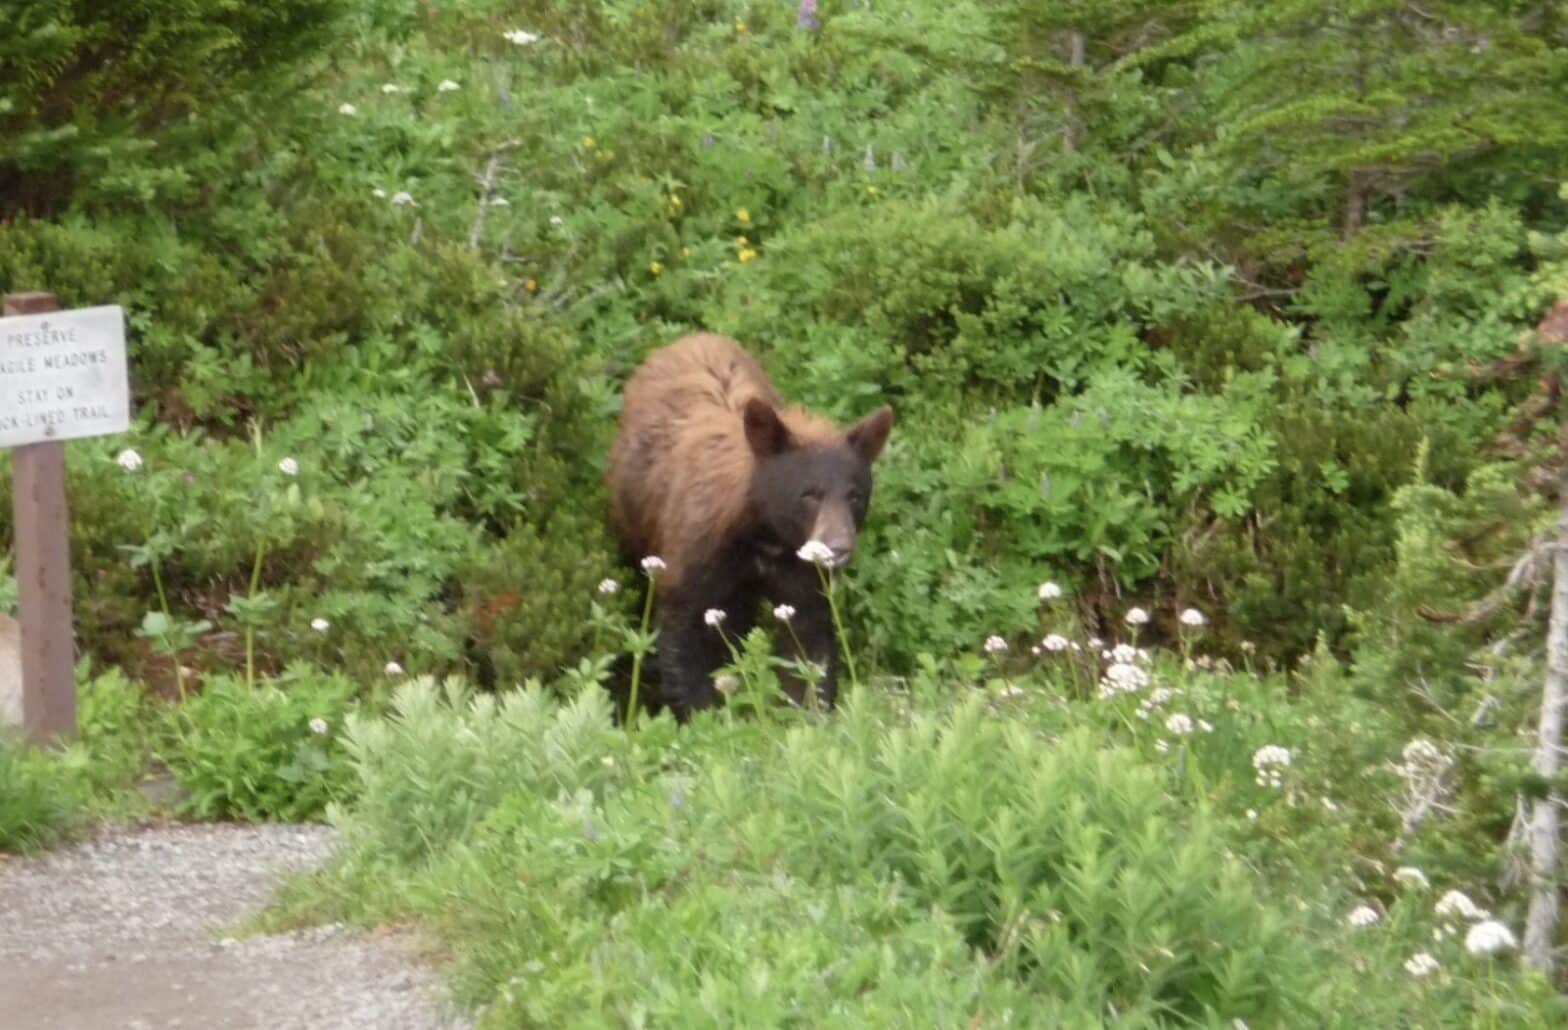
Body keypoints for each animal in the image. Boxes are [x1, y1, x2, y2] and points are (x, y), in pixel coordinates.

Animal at [607, 332, 894, 719]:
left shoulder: (799, 574)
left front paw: (809, 713)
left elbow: (808, 647)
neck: (763, 534)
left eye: (855, 495)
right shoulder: (695, 556)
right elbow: (684, 643)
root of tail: (690, 338)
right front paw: (705, 716)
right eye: (809, 494)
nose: (837, 548)